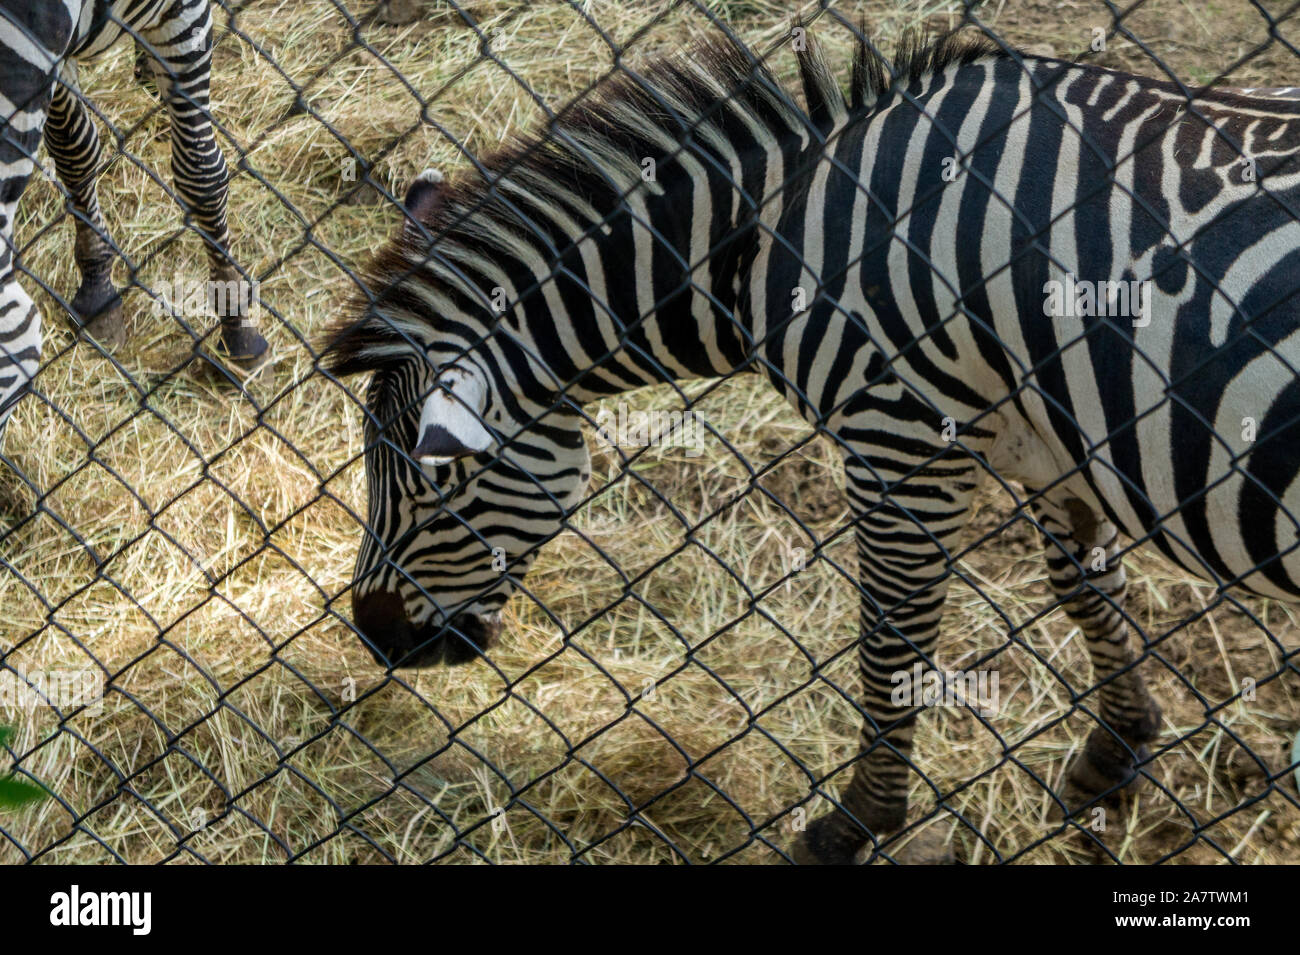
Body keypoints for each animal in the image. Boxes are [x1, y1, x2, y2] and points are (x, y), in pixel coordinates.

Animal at [0, 0, 269, 435]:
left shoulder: (186, 17)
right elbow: (74, 148)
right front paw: (97, 286)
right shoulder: (52, 56)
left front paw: (238, 326)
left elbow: (201, 173)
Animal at [324, 28, 1300, 863]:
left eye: (435, 475)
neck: (765, 243)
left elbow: (890, 638)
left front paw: (852, 826)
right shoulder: (1055, 433)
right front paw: (1116, 750)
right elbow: (1081, 584)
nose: (373, 633)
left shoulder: (900, 435)